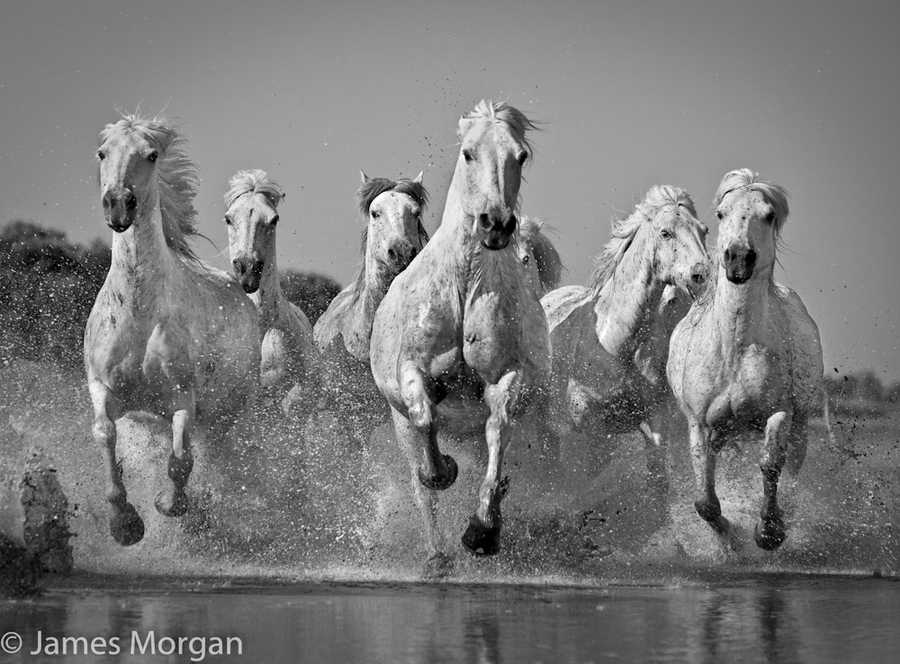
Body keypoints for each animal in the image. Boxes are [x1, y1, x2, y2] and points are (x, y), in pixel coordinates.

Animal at [85, 113, 259, 546]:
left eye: (151, 155)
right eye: (102, 153)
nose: (118, 204)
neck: (139, 313)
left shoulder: (183, 396)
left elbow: (181, 460)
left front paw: (169, 505)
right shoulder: (102, 386)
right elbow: (104, 434)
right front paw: (124, 523)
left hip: (226, 413)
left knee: (215, 457)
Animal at [369, 100, 549, 572]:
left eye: (520, 156)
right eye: (468, 153)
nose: (495, 224)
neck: (466, 285)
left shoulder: (508, 375)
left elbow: (498, 431)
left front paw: (482, 530)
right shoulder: (411, 368)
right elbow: (425, 417)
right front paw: (443, 471)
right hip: (398, 425)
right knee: (420, 487)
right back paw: (436, 554)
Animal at [540, 186, 708, 493]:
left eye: (703, 230)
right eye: (665, 233)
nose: (702, 275)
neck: (616, 346)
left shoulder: (655, 420)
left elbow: (658, 481)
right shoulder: (593, 428)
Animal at [667, 169, 824, 551]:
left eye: (768, 215)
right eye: (721, 213)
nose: (738, 258)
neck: (734, 350)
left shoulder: (780, 413)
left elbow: (770, 466)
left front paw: (768, 532)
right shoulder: (699, 425)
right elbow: (704, 501)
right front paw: (731, 540)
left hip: (801, 424)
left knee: (791, 471)